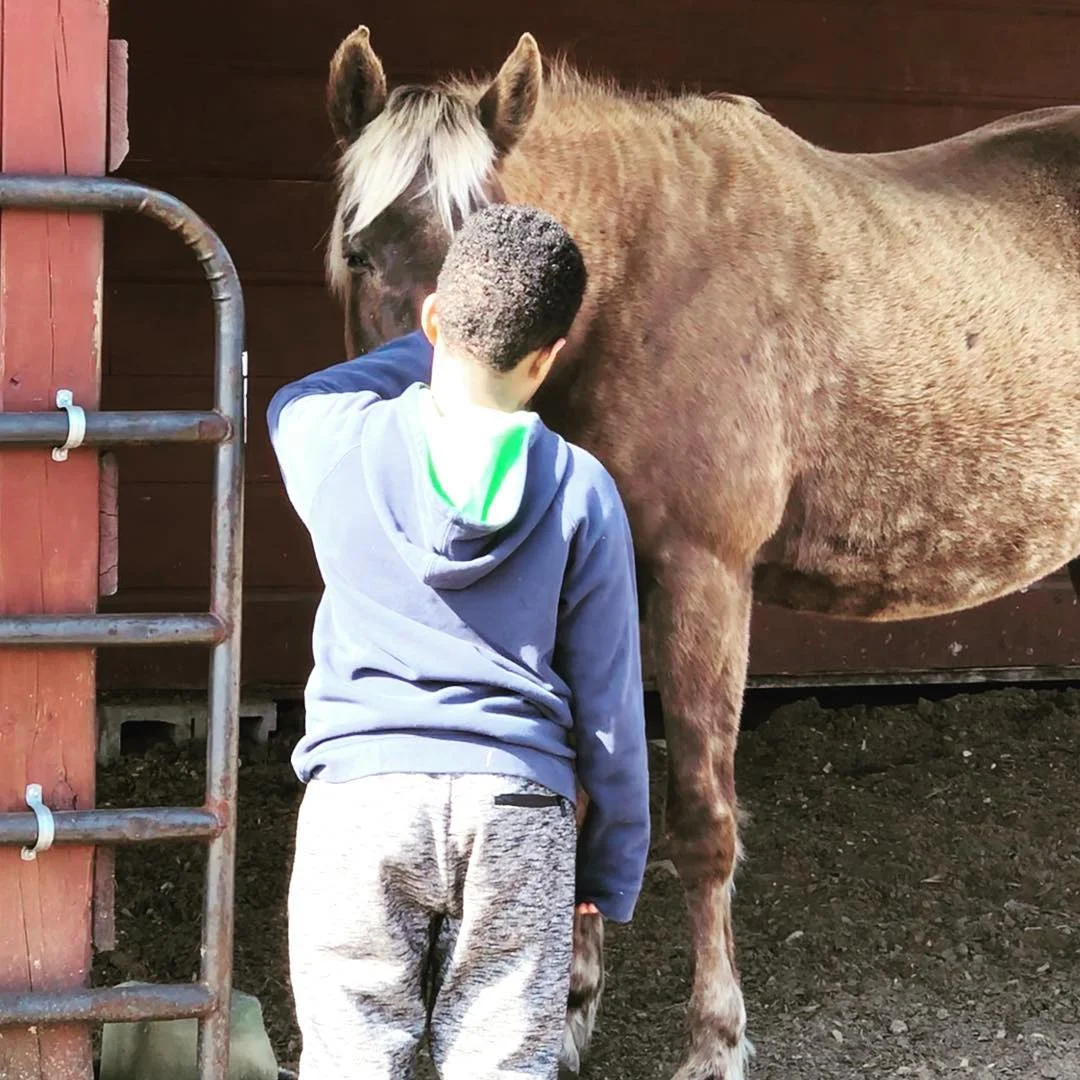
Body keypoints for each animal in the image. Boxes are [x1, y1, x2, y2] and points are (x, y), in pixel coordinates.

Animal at [320, 25, 1080, 1080]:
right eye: (359, 252)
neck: (646, 285)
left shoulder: (705, 579)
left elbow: (702, 817)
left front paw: (715, 1039)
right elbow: (588, 797)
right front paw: (566, 1020)